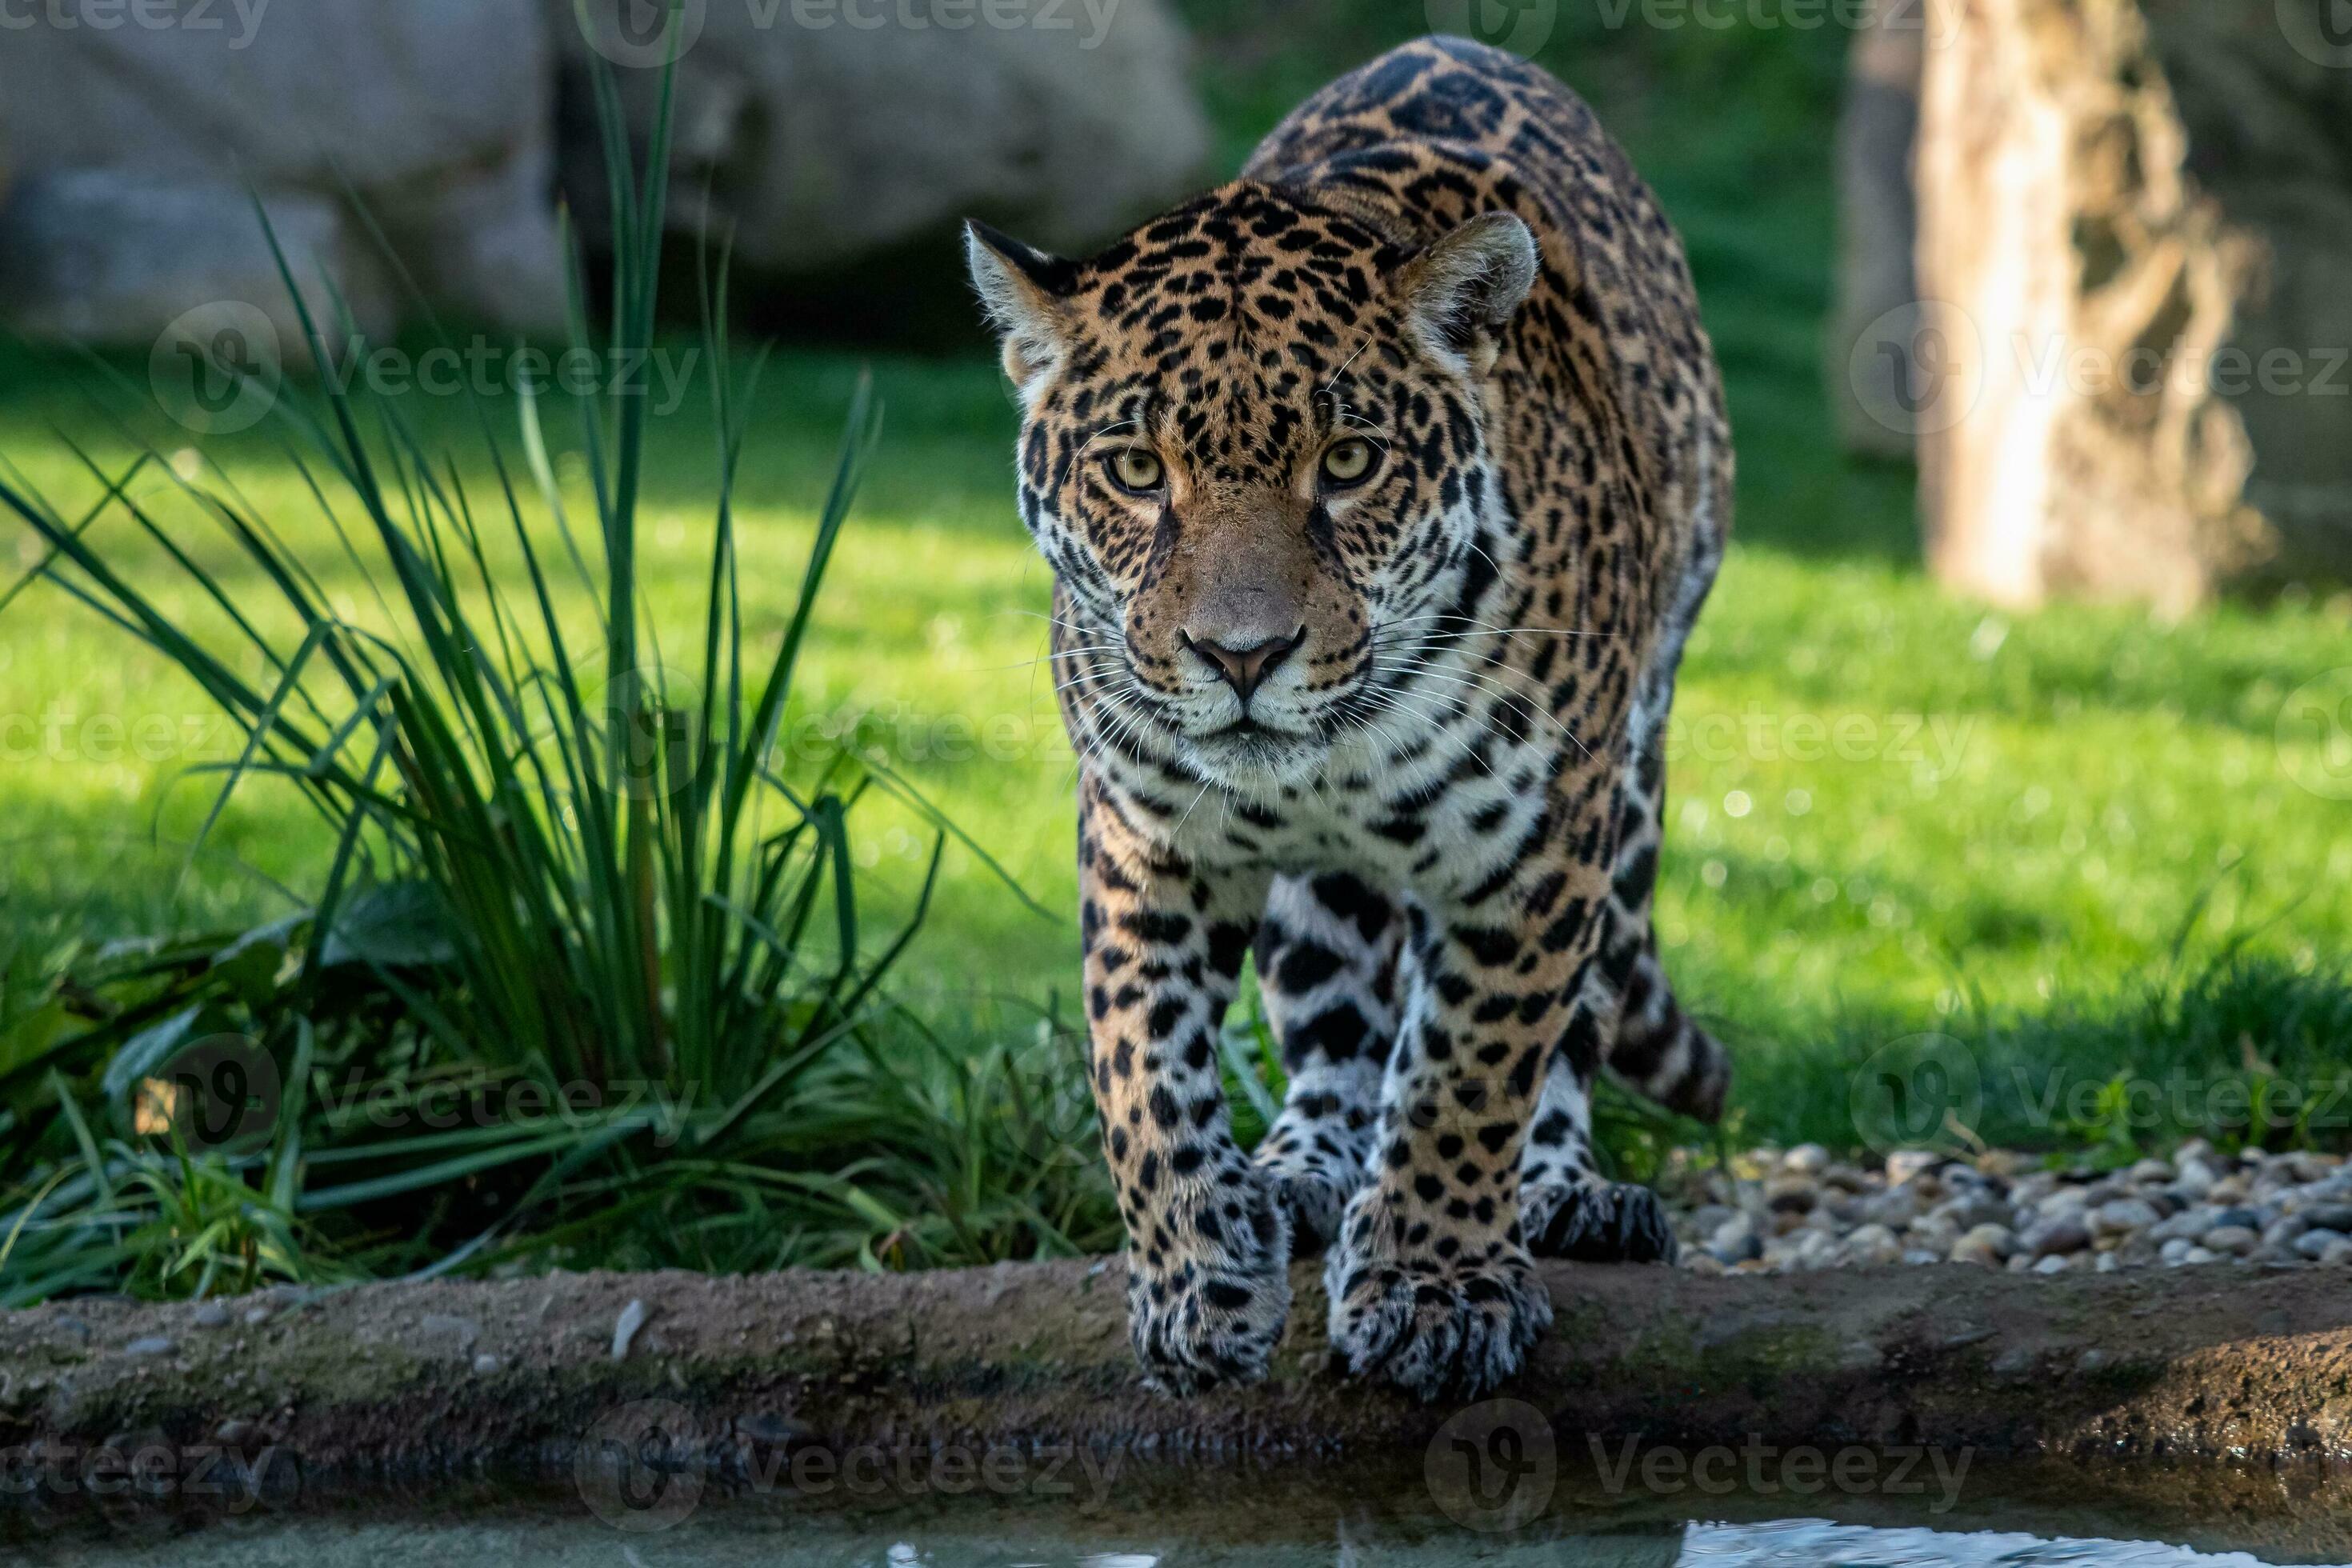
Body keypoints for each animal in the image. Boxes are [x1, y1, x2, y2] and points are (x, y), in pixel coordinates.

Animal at [964, 35, 1734, 1400]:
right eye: (1135, 472)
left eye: (1350, 463)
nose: (1241, 655)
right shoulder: (1143, 833)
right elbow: (1139, 1066)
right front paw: (1198, 1283)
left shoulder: (1533, 851)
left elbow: (1469, 1074)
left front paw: (1434, 1292)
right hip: (1318, 891)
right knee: (1330, 1025)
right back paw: (1295, 1174)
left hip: (1625, 794)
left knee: (1569, 1036)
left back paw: (1567, 1193)